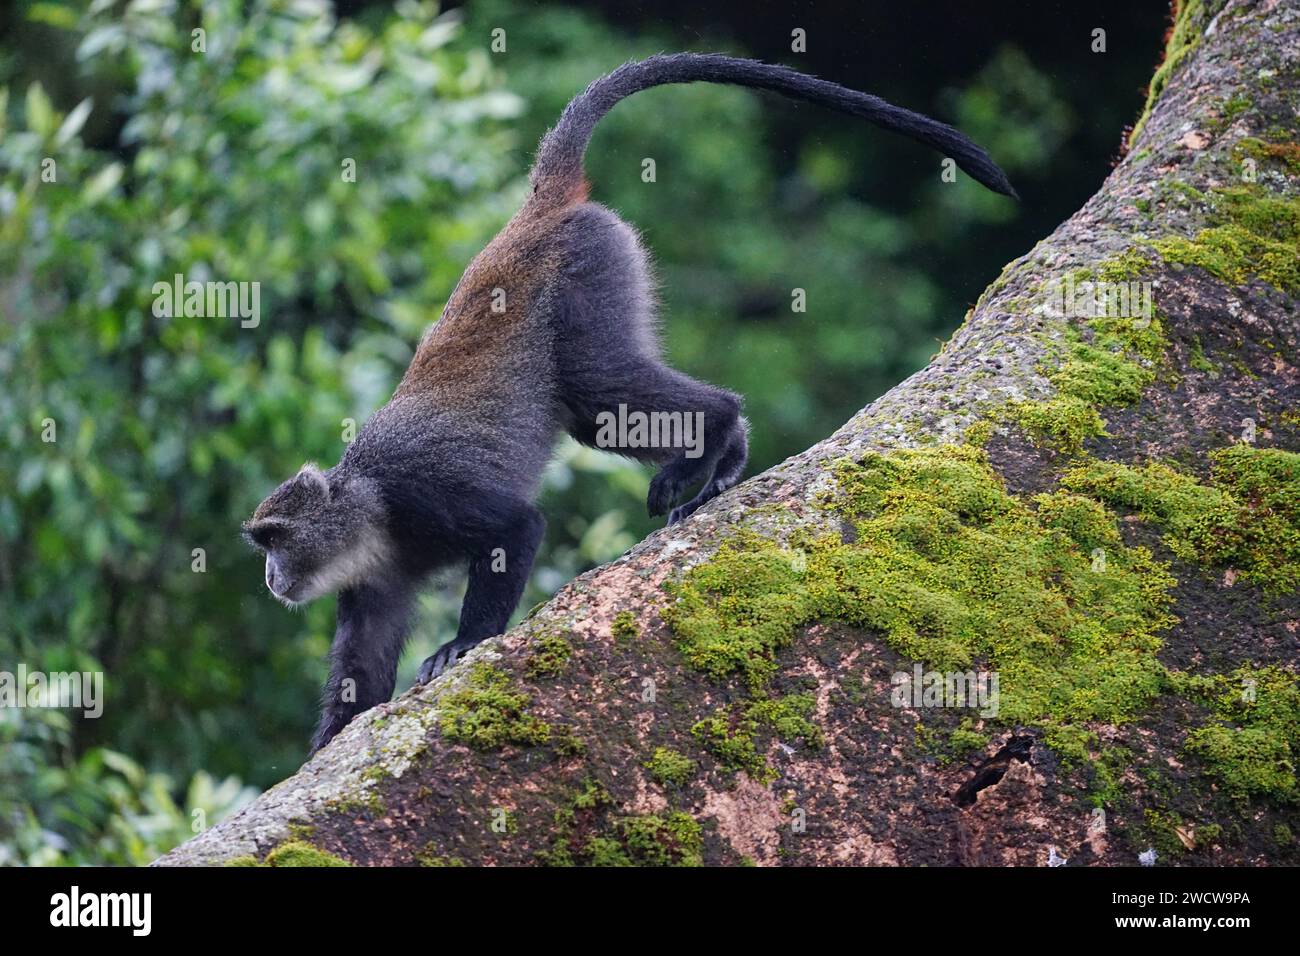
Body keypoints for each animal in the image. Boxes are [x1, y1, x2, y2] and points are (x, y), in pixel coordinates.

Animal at [242, 53, 1017, 754]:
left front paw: (463, 645)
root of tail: (540, 208)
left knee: (605, 392)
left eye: (273, 538)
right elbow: (363, 669)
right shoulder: (370, 582)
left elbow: (517, 527)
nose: (271, 578)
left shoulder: (426, 493)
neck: (365, 507)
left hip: (589, 274)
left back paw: (713, 441)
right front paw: (329, 745)